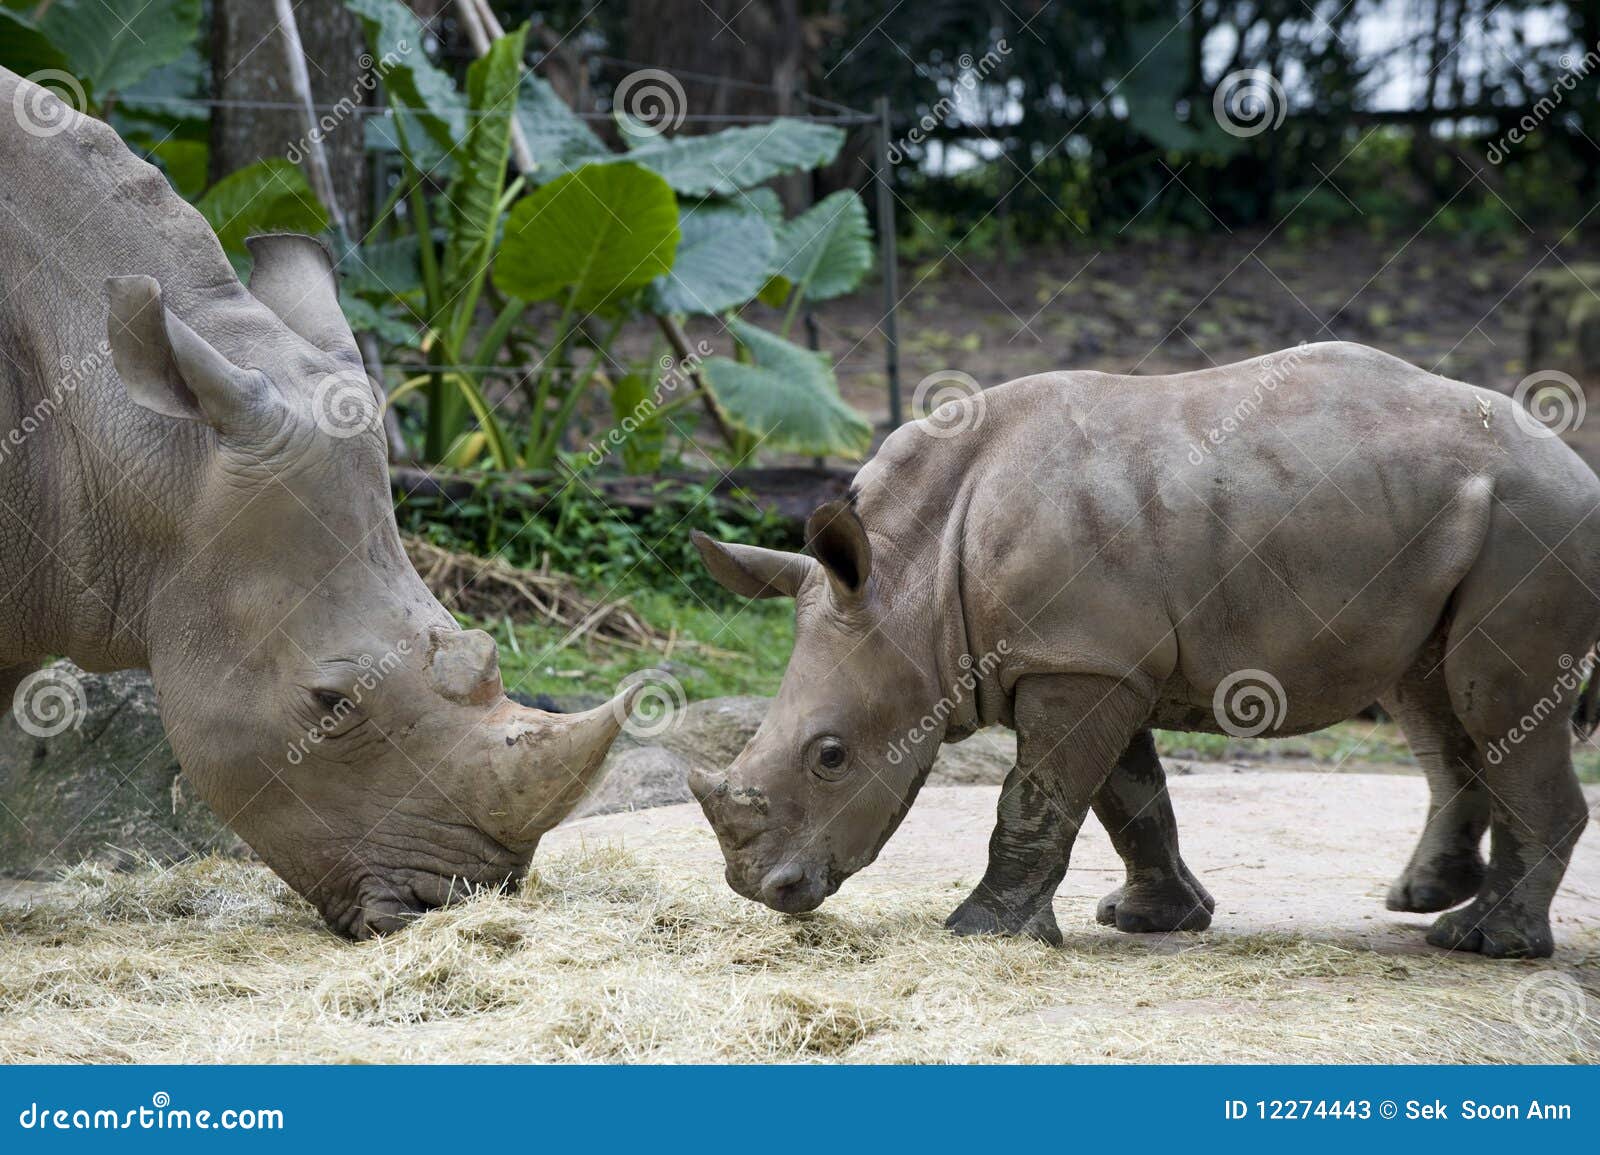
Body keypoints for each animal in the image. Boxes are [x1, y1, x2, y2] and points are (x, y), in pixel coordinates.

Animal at [690, 341, 1599, 959]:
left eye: (831, 756)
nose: (759, 890)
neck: (914, 580)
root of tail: (1575, 462)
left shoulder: (1078, 659)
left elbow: (1036, 797)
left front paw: (980, 933)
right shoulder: (1097, 654)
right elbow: (1127, 799)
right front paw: (1154, 920)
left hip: (1537, 524)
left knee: (1498, 699)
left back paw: (1481, 940)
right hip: (1448, 528)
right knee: (1436, 699)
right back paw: (1422, 899)